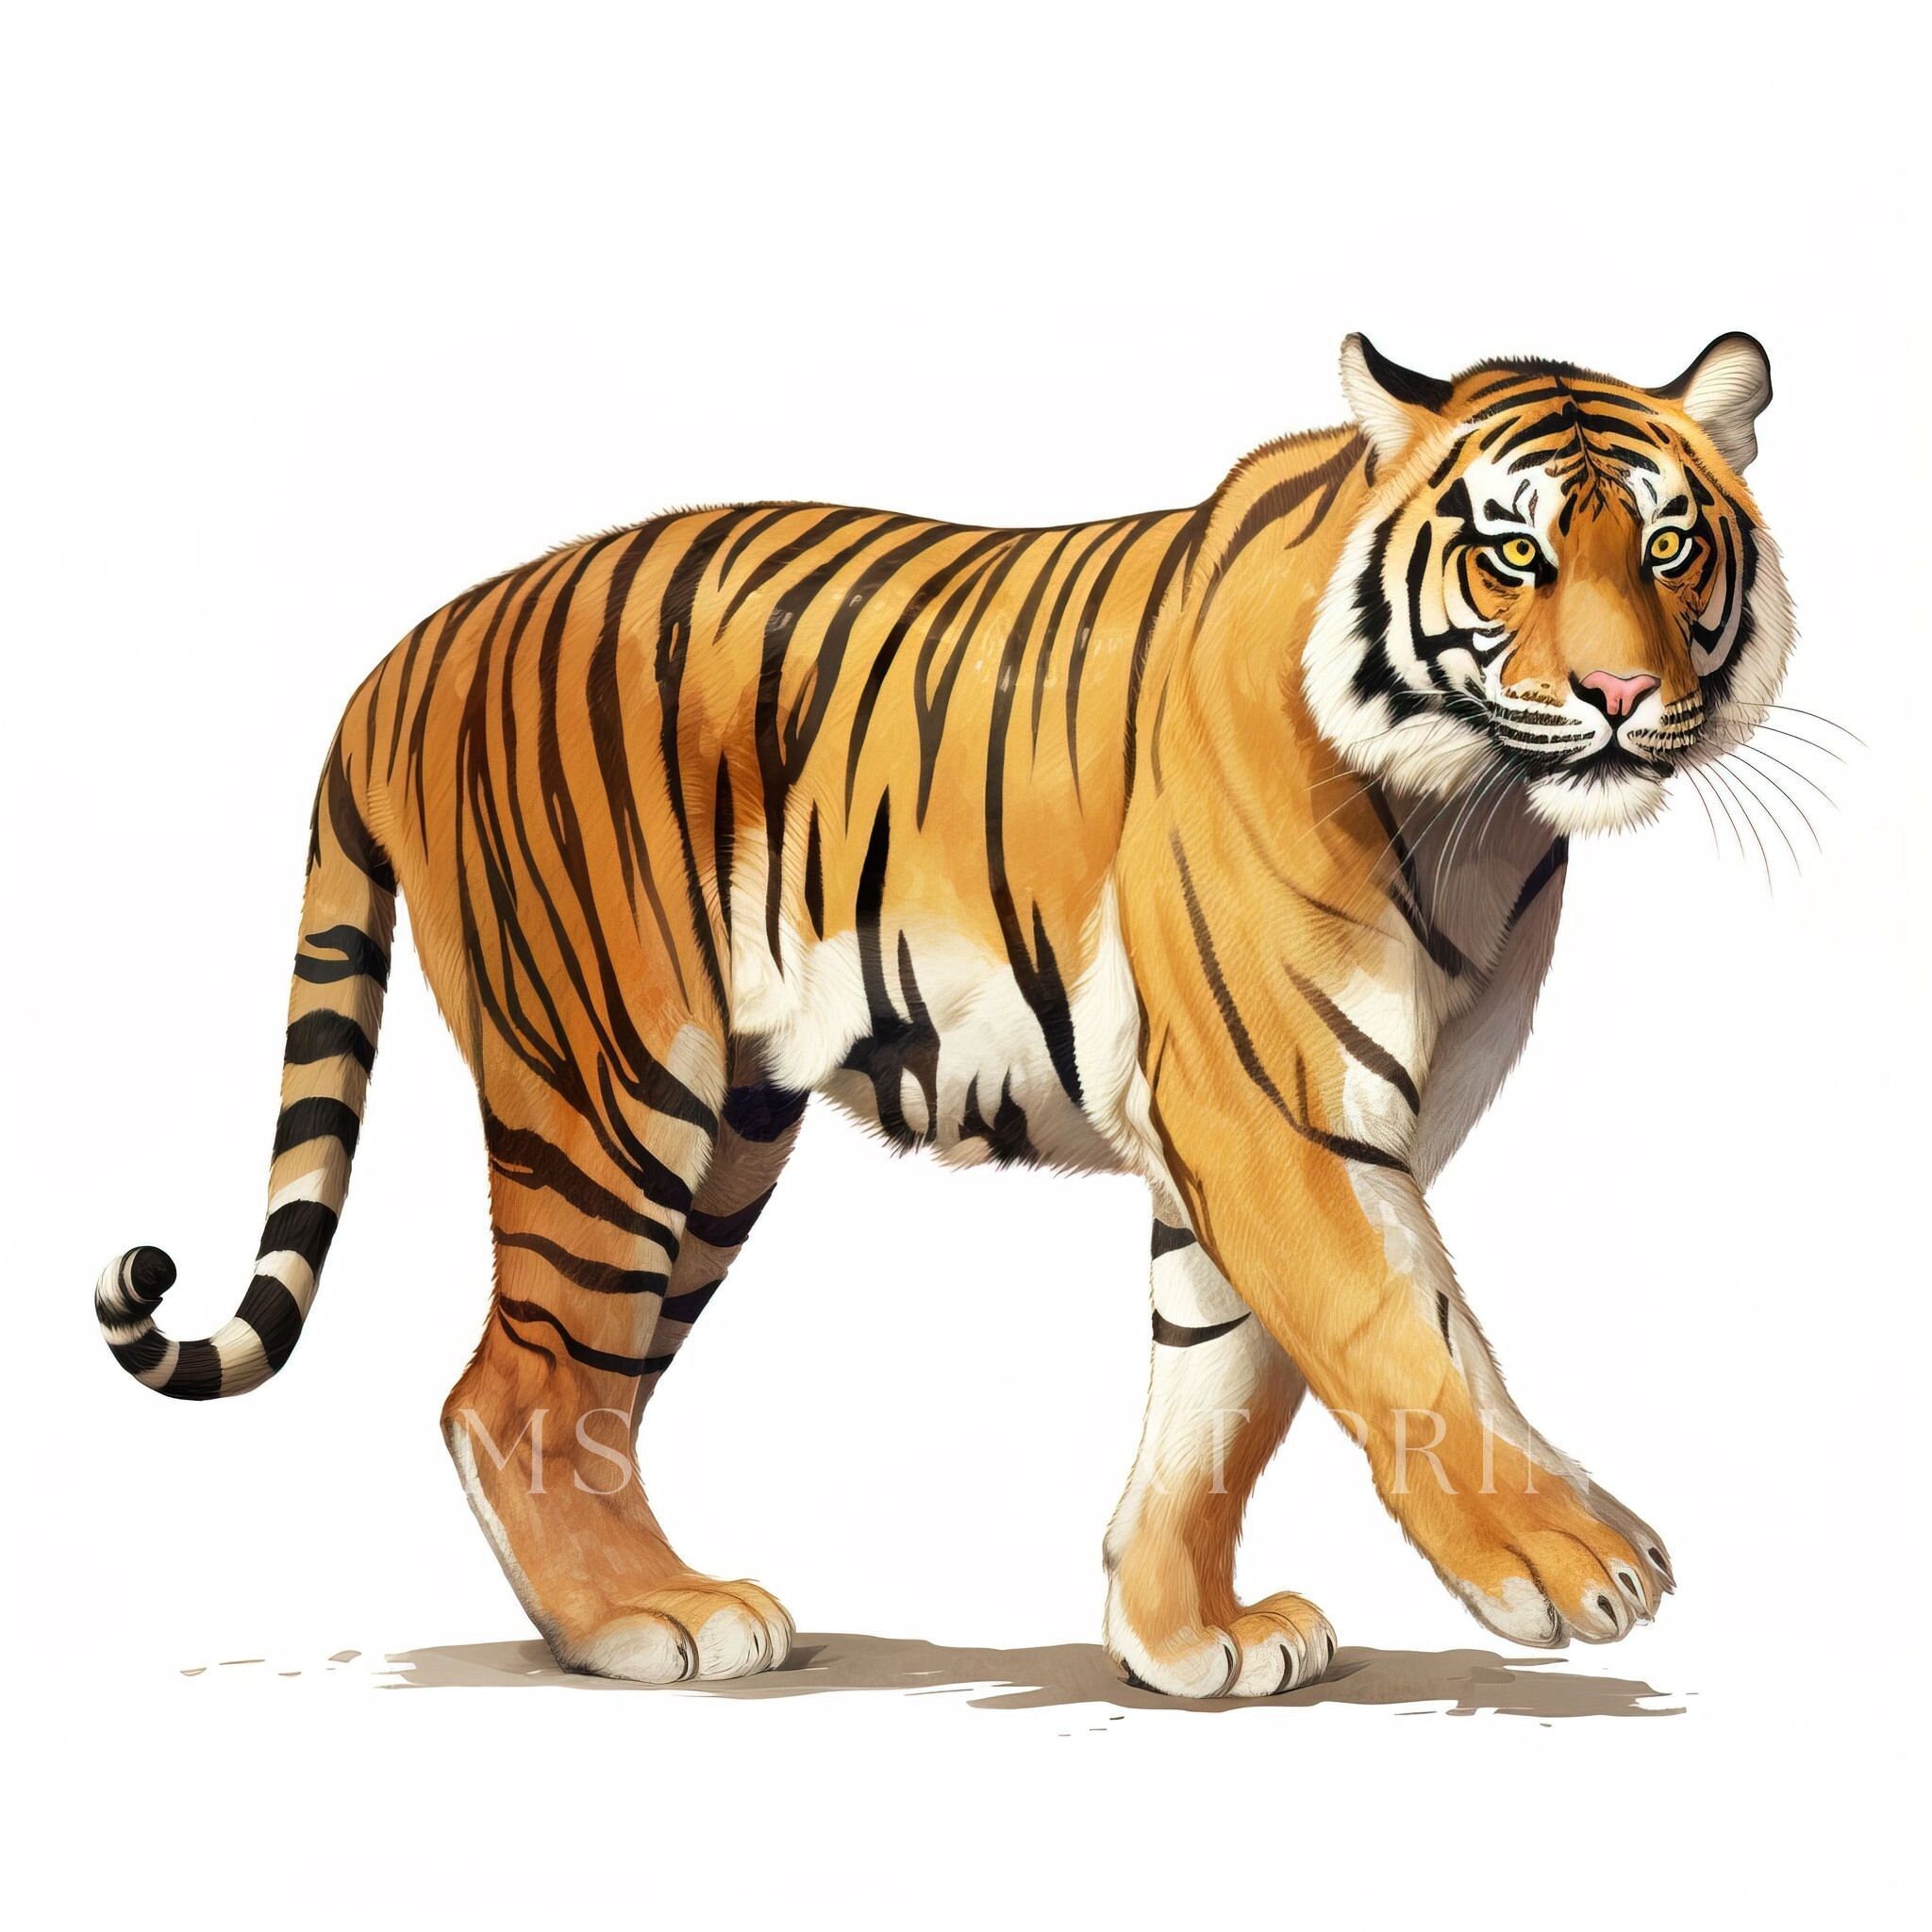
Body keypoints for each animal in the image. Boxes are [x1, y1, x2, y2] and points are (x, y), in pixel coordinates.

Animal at [94, 331, 1789, 1696]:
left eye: (1669, 547)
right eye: (1513, 557)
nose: (1620, 698)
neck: (1480, 816)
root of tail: (402, 654)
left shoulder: (1278, 1128)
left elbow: (1222, 1388)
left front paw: (1186, 1638)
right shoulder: (1276, 1107)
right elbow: (1404, 1340)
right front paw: (1568, 1557)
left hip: (722, 1136)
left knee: (579, 1392)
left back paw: (643, 1600)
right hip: (614, 1087)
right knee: (509, 1387)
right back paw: (648, 1623)